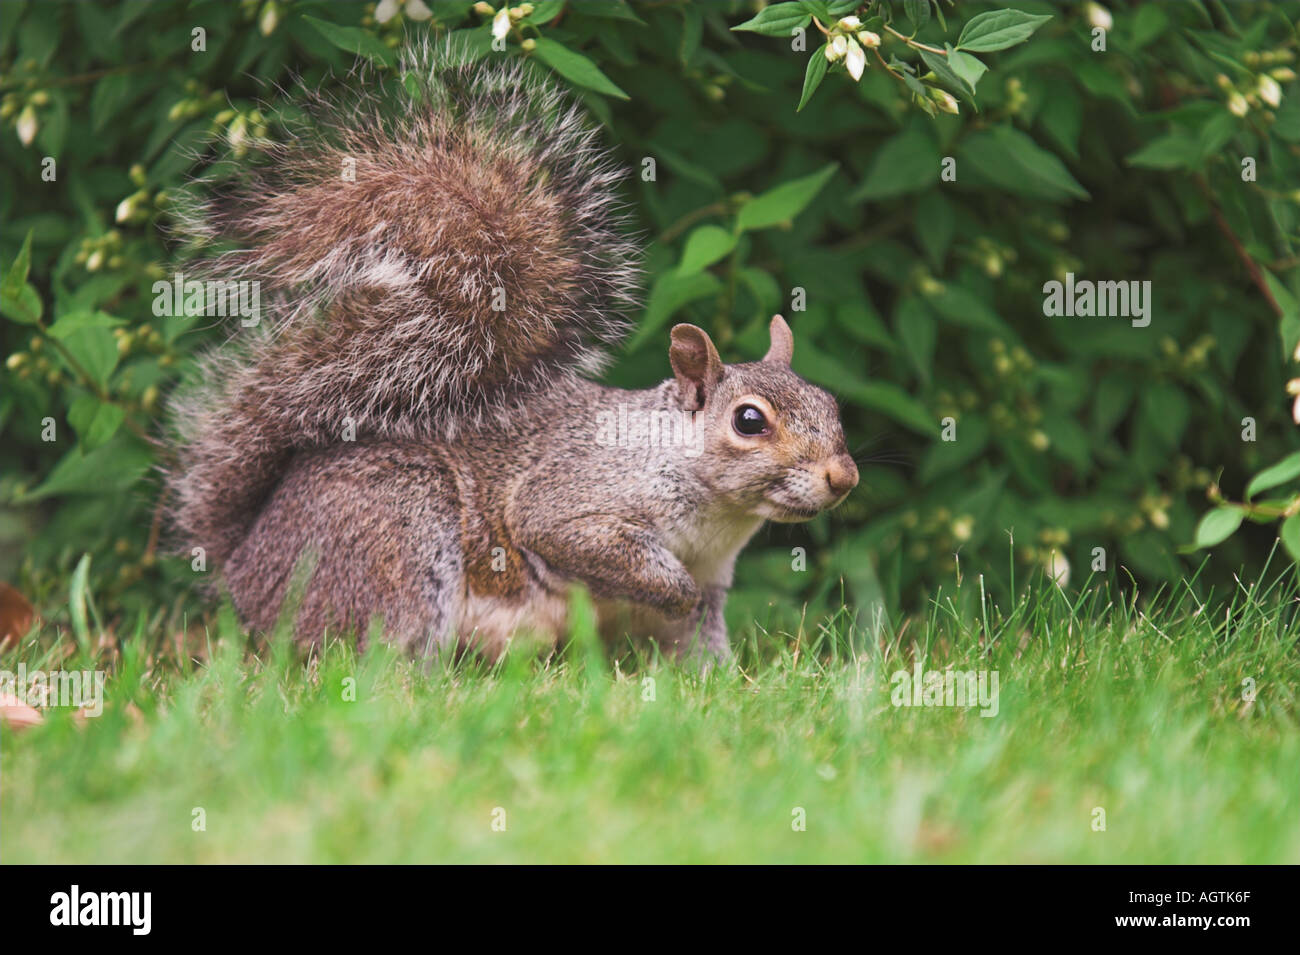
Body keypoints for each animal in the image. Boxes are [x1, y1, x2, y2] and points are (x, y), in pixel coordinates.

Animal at [164, 45, 858, 664]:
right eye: (749, 421)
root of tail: (246, 567)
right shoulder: (574, 500)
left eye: (831, 403)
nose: (843, 477)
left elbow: (698, 646)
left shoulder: (716, 578)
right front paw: (671, 592)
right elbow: (575, 538)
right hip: (401, 536)